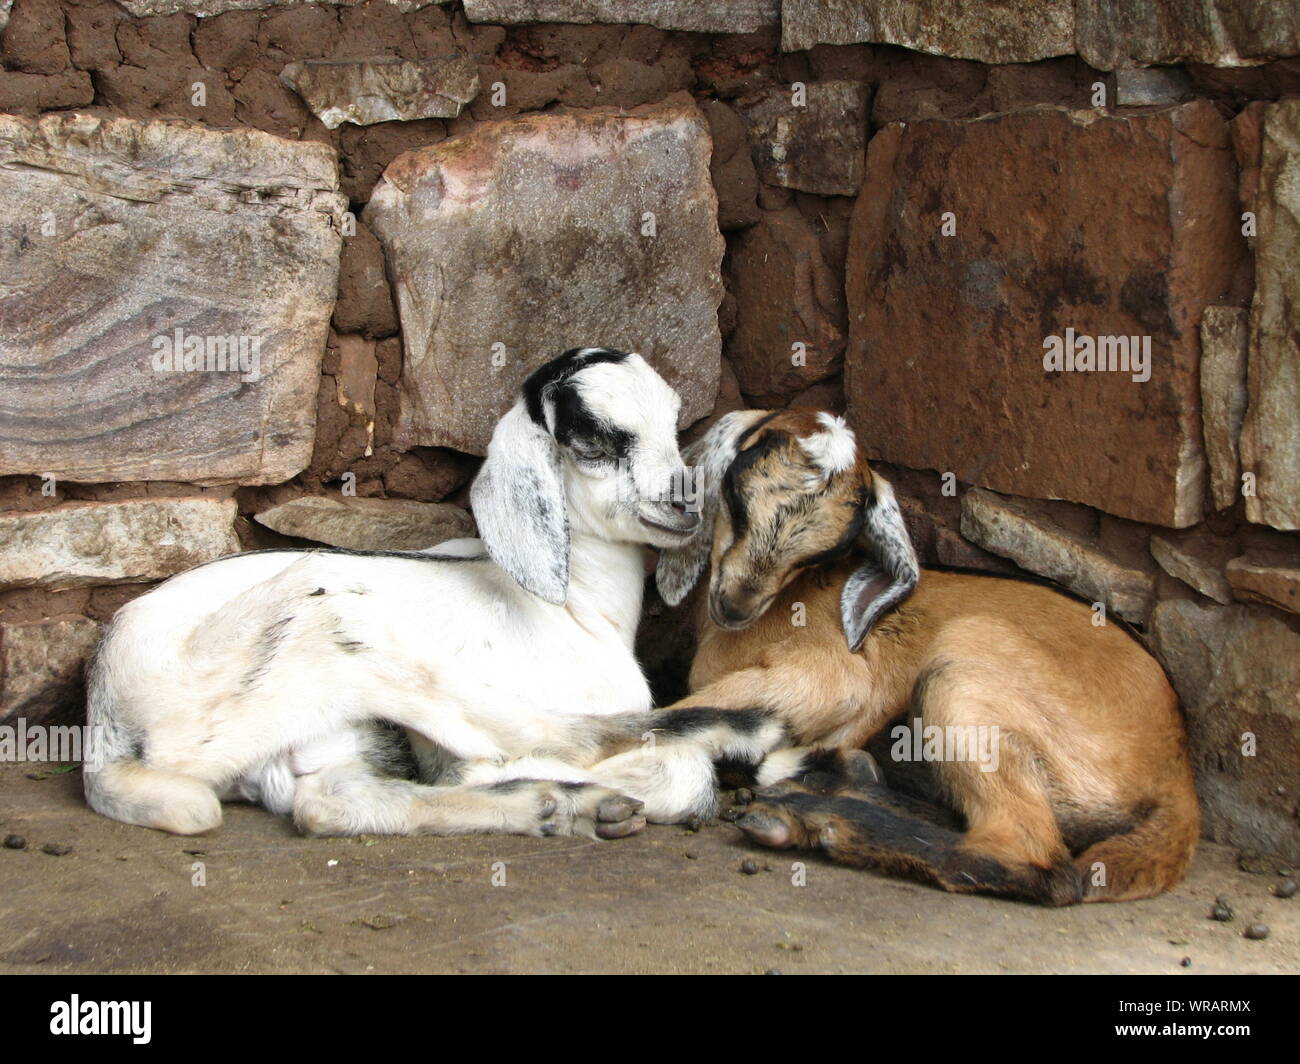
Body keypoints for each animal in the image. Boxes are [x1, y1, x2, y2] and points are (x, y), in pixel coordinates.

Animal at [83, 348, 762, 838]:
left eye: (672, 424)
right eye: (594, 440)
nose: (685, 500)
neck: (574, 610)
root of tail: (105, 706)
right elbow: (679, 772)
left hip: (332, 729)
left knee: (330, 802)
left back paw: (564, 806)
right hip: (327, 616)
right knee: (545, 737)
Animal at [653, 408, 1200, 905]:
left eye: (822, 553)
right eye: (737, 501)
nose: (735, 605)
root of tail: (1176, 774)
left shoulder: (835, 676)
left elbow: (671, 717)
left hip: (962, 672)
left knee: (1031, 857)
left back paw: (805, 818)